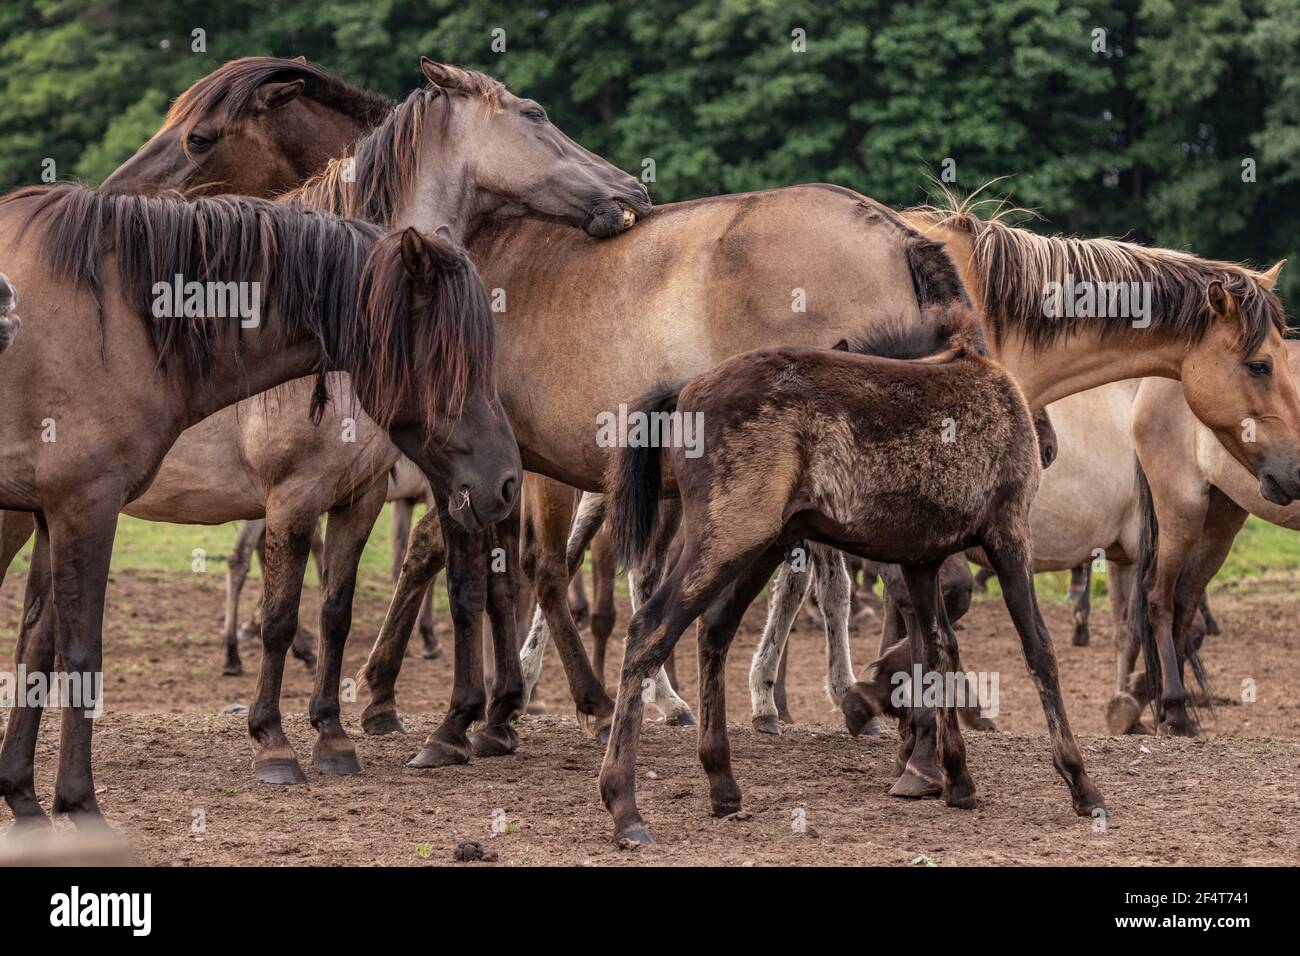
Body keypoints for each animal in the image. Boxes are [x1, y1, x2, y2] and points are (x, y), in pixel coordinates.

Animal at [0, 182, 517, 825]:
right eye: (452, 359)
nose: (508, 481)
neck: (119, 325)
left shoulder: (359, 499)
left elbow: (36, 645)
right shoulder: (94, 508)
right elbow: (86, 649)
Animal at [603, 300, 1105, 845]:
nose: (1050, 445)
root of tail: (686, 391)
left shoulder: (922, 559)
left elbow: (939, 650)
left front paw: (952, 776)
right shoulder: (1009, 537)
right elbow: (1037, 649)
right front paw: (1081, 784)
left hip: (754, 546)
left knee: (713, 628)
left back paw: (722, 784)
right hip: (728, 542)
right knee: (650, 629)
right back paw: (625, 807)